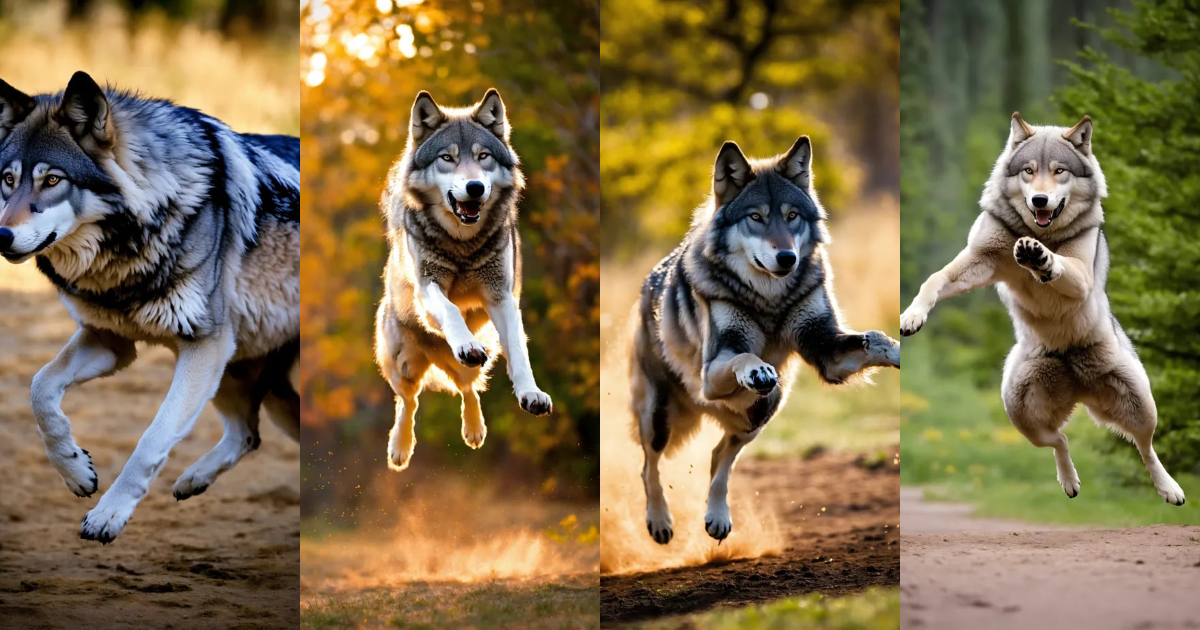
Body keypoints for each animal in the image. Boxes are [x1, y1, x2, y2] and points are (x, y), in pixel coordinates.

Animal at [0, 72, 300, 543]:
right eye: (8, 180)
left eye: (52, 181)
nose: (1, 237)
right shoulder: (111, 341)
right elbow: (40, 389)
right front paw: (75, 471)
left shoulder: (203, 346)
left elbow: (151, 440)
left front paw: (108, 514)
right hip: (238, 375)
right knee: (248, 435)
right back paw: (194, 479)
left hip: (234, 369)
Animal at [374, 89, 551, 472]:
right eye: (447, 158)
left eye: (483, 157)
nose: (475, 187)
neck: (462, 244)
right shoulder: (429, 289)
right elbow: (452, 312)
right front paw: (465, 342)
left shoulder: (501, 297)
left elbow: (519, 351)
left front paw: (531, 393)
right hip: (403, 365)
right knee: (408, 402)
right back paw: (399, 449)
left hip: (475, 360)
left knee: (468, 388)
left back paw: (474, 431)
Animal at [632, 138, 900, 544]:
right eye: (755, 217)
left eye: (792, 216)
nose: (787, 257)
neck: (768, 300)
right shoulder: (715, 368)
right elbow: (743, 357)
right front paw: (755, 368)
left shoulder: (827, 351)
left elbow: (875, 339)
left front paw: (900, 349)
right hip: (661, 417)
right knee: (649, 466)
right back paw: (660, 522)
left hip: (765, 409)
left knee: (719, 458)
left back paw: (717, 518)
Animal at [900, 113, 1184, 505]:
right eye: (1029, 171)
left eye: (1059, 171)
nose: (1039, 199)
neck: (1040, 231)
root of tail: (1079, 389)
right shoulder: (980, 261)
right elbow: (934, 279)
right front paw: (912, 316)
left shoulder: (1079, 274)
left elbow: (1060, 265)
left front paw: (1042, 259)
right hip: (1021, 416)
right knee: (1060, 440)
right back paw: (1070, 482)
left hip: (1141, 404)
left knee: (1146, 447)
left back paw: (1170, 489)